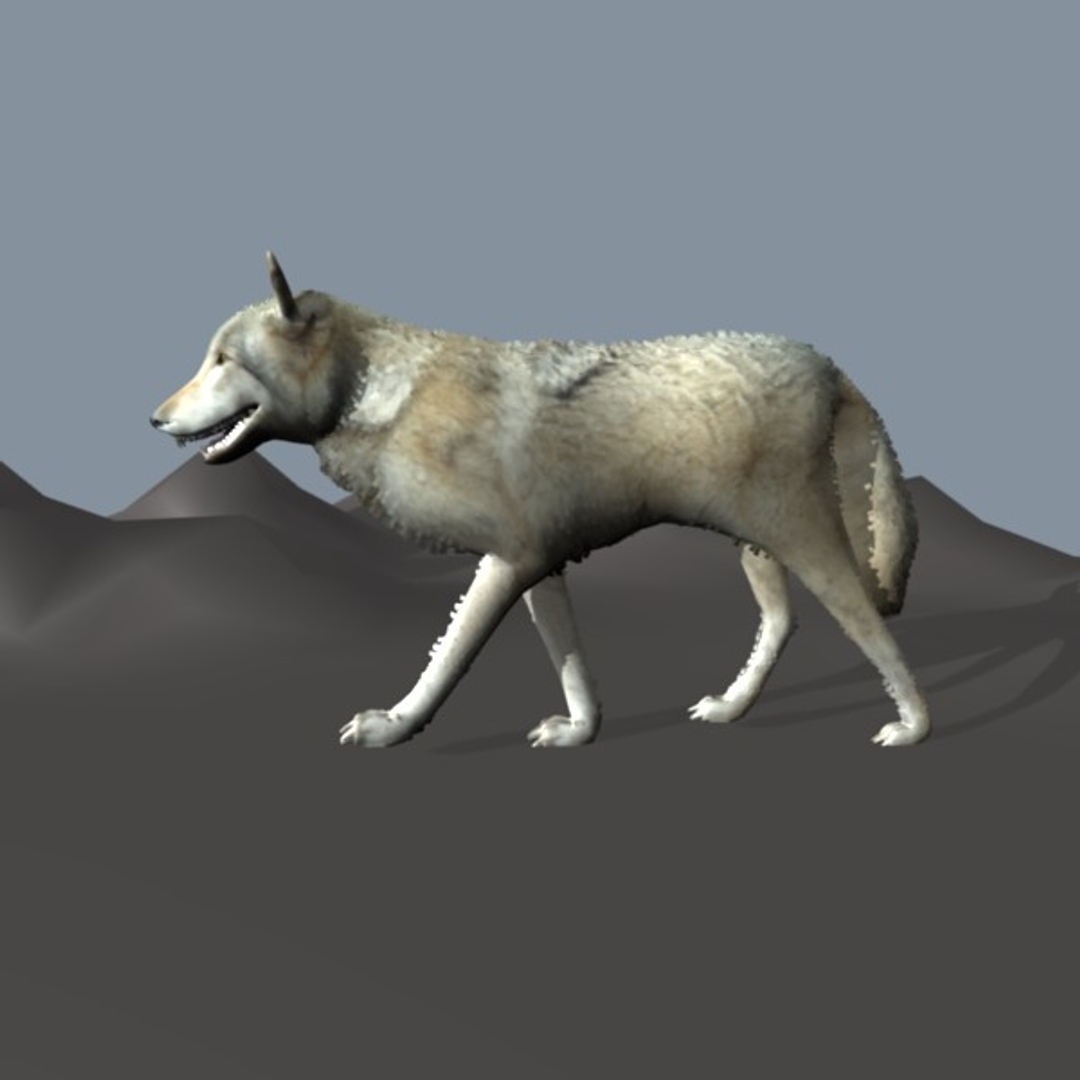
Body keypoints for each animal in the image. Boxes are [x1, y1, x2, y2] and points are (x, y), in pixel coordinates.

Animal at [151, 252, 929, 748]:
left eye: (222, 361)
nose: (156, 419)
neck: (376, 394)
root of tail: (825, 360)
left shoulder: (507, 561)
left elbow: (446, 658)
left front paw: (394, 727)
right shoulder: (536, 563)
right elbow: (571, 664)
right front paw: (581, 731)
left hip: (802, 539)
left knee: (867, 623)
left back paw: (915, 725)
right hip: (754, 544)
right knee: (781, 622)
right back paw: (733, 707)